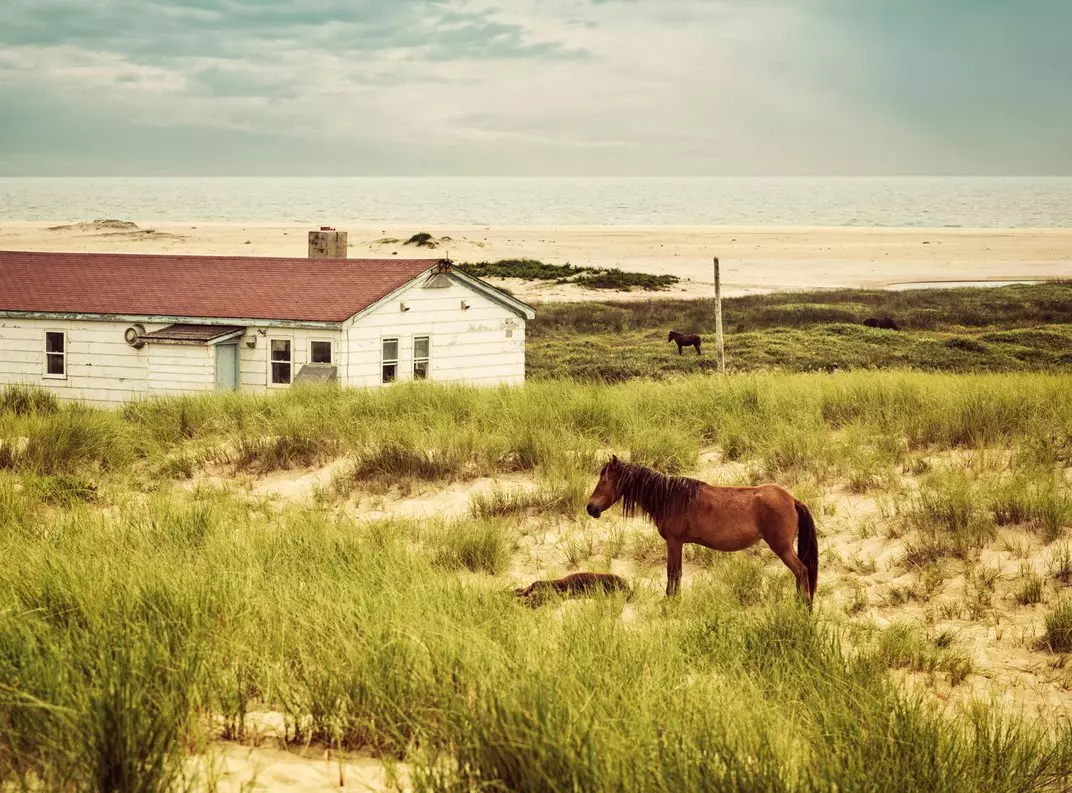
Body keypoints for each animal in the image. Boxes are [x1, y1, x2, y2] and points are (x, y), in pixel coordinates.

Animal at [587, 454, 819, 604]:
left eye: (604, 480)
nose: (591, 508)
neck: (669, 498)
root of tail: (792, 500)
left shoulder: (673, 541)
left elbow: (672, 573)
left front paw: (669, 602)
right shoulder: (677, 543)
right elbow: (677, 573)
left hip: (782, 547)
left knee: (802, 572)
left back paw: (802, 606)